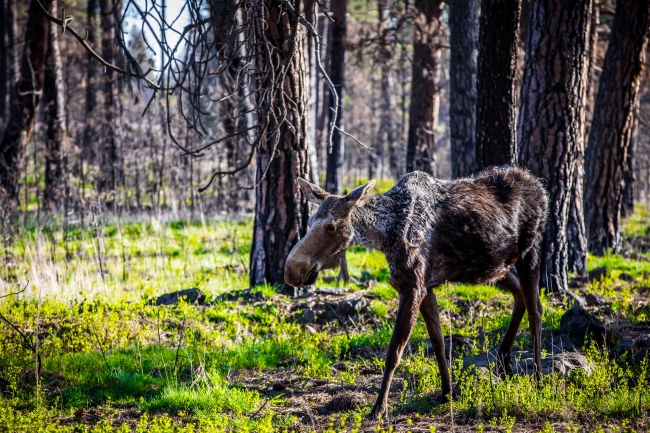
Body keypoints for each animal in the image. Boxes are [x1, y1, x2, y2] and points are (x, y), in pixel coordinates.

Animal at [284, 166, 548, 418]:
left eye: (330, 226)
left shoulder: (413, 286)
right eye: (309, 222)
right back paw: (503, 364)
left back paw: (537, 379)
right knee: (521, 297)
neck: (385, 234)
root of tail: (541, 187)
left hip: (530, 252)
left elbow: (394, 352)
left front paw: (379, 408)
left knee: (536, 311)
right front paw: (447, 392)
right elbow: (438, 341)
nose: (291, 271)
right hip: (494, 267)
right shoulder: (426, 286)